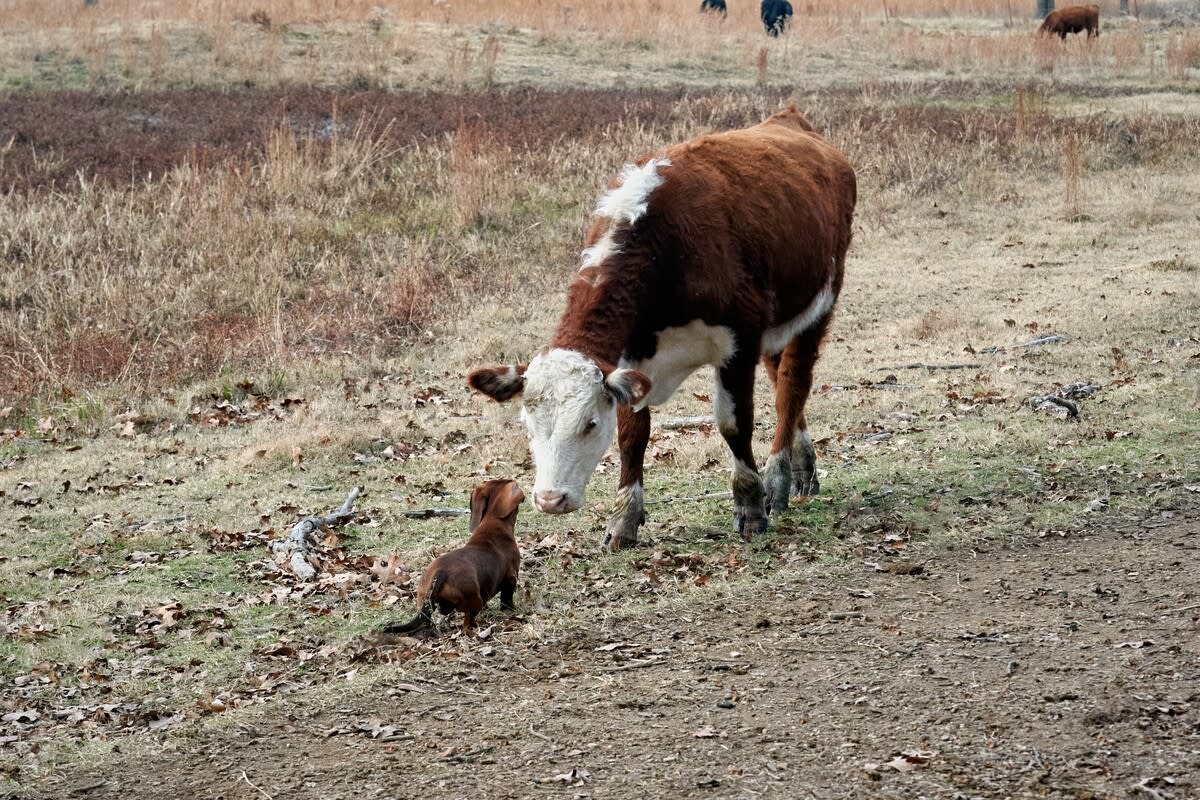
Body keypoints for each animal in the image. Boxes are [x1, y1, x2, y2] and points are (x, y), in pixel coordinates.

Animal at [468, 106, 856, 550]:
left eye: (589, 423)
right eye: (528, 425)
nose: (550, 499)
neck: (664, 246)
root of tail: (788, 118)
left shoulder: (738, 341)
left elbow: (734, 424)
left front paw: (750, 507)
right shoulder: (631, 360)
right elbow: (632, 435)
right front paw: (624, 519)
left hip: (820, 301)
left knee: (792, 386)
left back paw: (777, 479)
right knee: (781, 382)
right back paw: (802, 466)